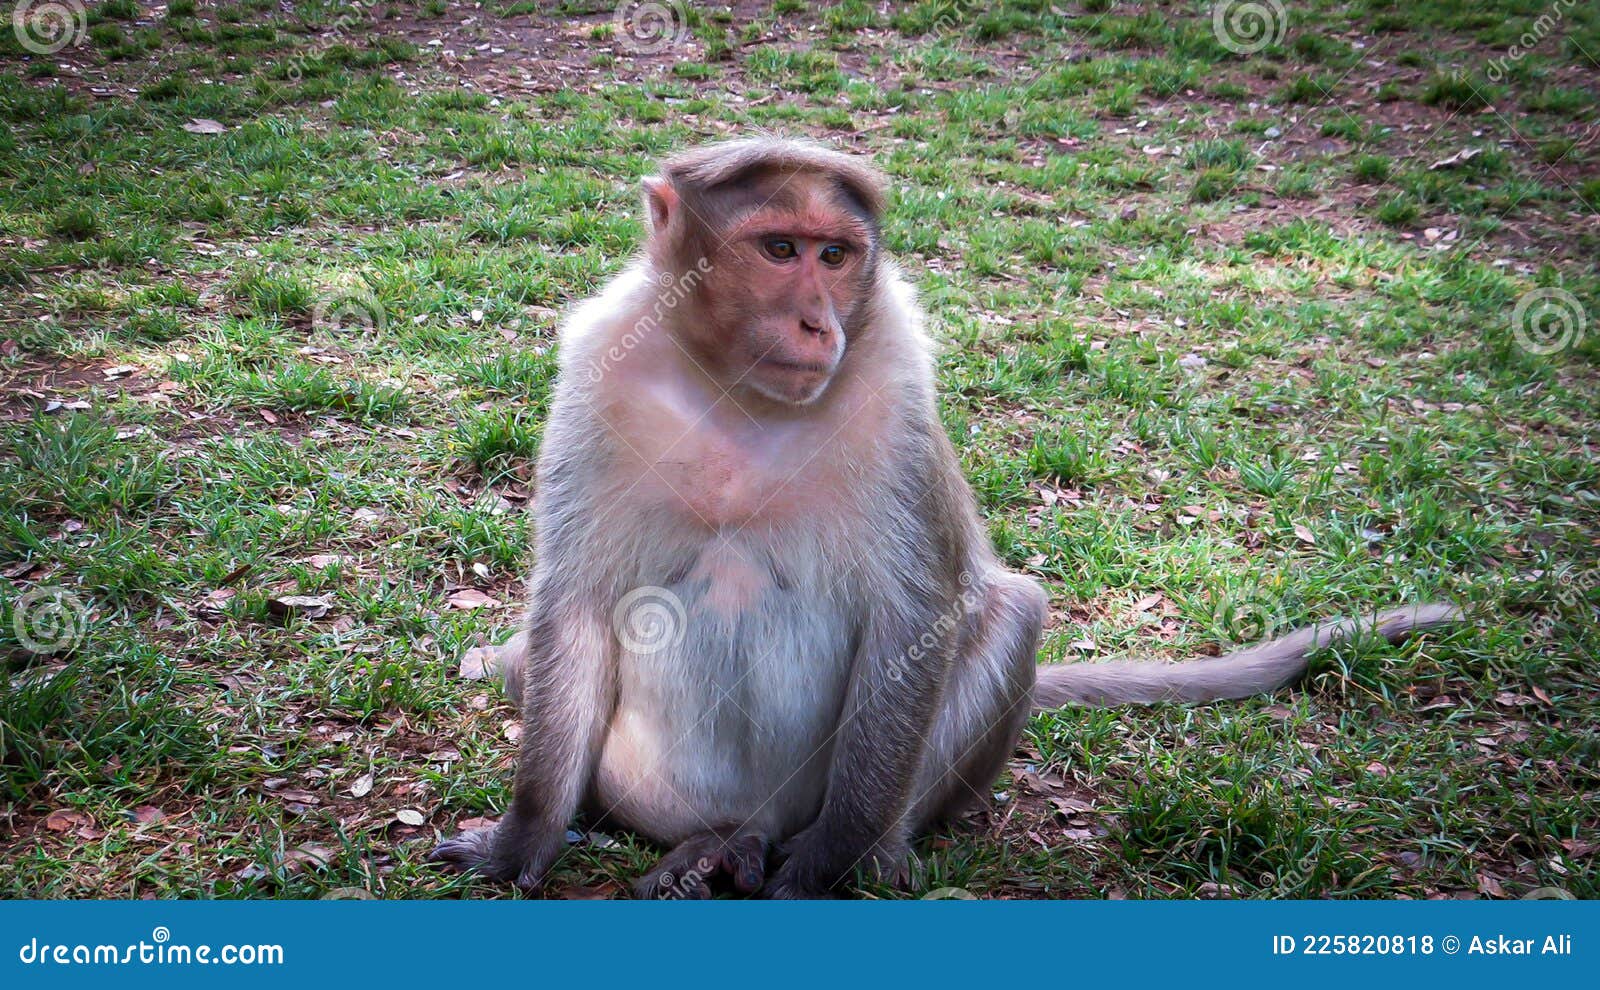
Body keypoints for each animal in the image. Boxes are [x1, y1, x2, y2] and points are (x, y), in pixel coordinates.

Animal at [430, 137, 1463, 898]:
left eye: (836, 255)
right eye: (779, 249)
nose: (818, 322)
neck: (735, 394)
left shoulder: (896, 388)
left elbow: (918, 616)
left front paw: (822, 872)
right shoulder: (595, 373)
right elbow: (571, 604)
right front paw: (523, 842)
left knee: (1006, 613)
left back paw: (807, 853)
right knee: (528, 663)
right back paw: (690, 850)